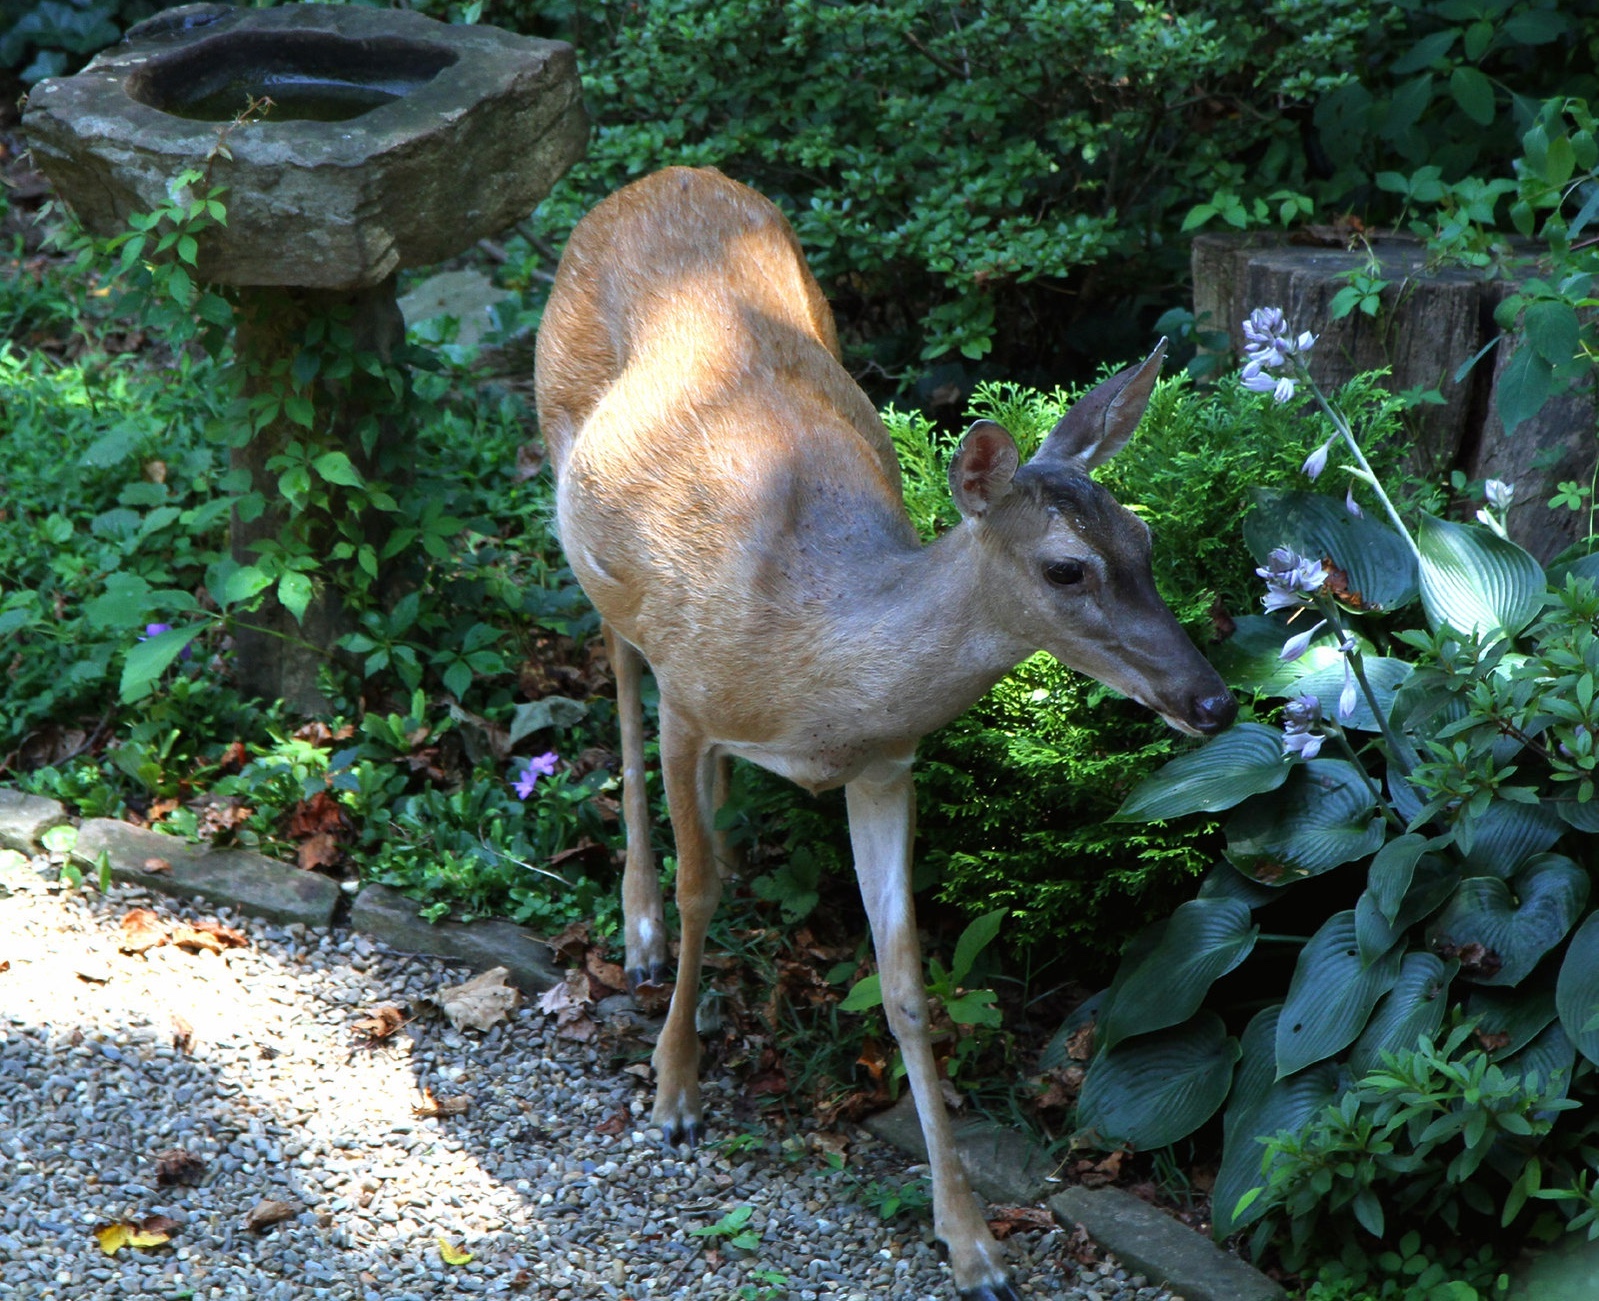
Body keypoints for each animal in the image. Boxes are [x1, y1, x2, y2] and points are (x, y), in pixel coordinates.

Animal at [533, 166, 1236, 1301]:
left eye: (1145, 537)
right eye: (1065, 568)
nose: (1213, 702)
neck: (806, 650)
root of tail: (668, 175)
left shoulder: (886, 766)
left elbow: (905, 983)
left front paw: (974, 1242)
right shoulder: (692, 695)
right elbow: (699, 890)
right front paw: (674, 1087)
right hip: (566, 472)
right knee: (615, 665)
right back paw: (636, 930)